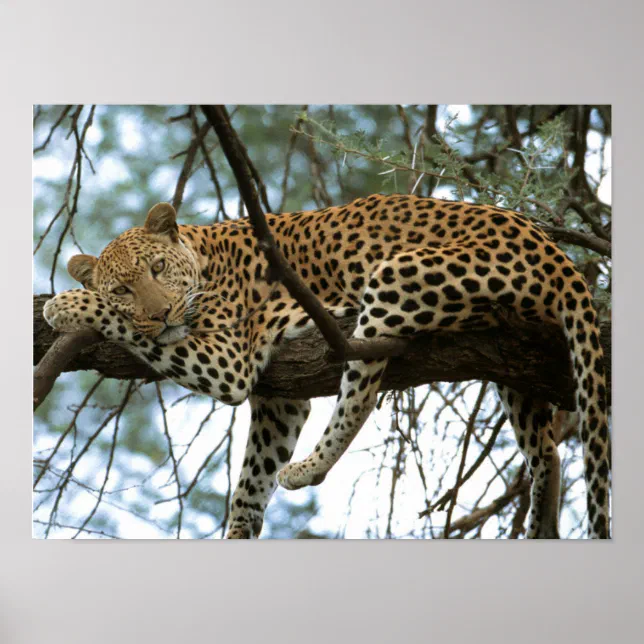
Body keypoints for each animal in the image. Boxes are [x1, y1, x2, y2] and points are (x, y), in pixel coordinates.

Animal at [43, 193, 611, 539]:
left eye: (158, 269)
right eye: (123, 288)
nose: (160, 314)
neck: (204, 256)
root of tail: (555, 251)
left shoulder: (228, 359)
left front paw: (65, 304)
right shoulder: (279, 399)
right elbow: (250, 480)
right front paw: (240, 530)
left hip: (395, 276)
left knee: (360, 392)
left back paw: (309, 467)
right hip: (516, 365)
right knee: (547, 451)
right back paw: (540, 526)